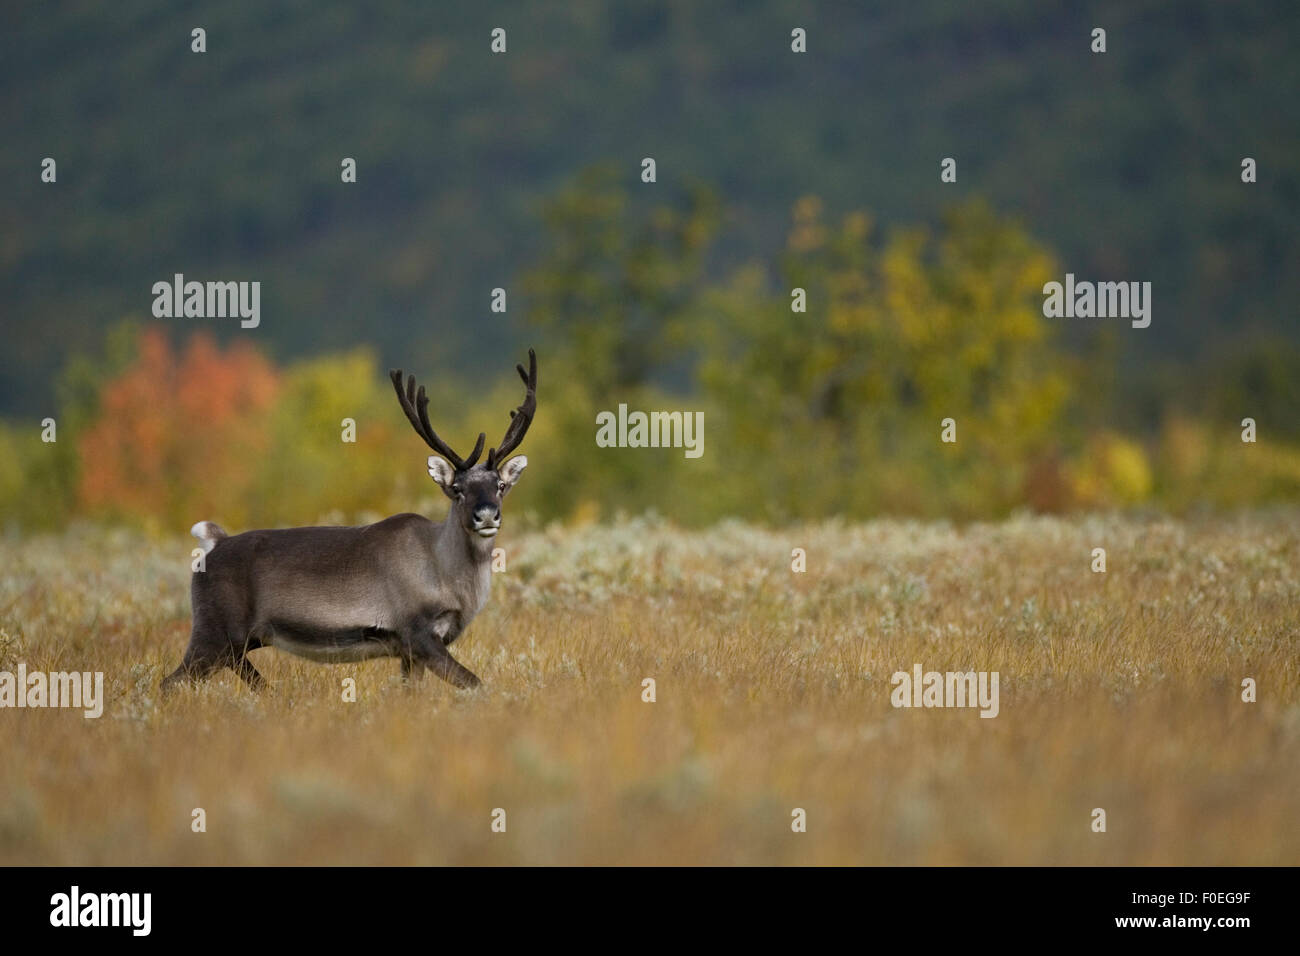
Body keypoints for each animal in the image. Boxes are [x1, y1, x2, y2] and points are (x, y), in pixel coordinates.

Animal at [160, 349, 537, 694]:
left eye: (500, 486)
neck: (449, 579)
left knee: (247, 676)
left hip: (235, 642)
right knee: (169, 683)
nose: (486, 514)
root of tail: (214, 541)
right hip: (212, 631)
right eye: (457, 489)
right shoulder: (417, 633)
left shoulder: (410, 651)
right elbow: (475, 683)